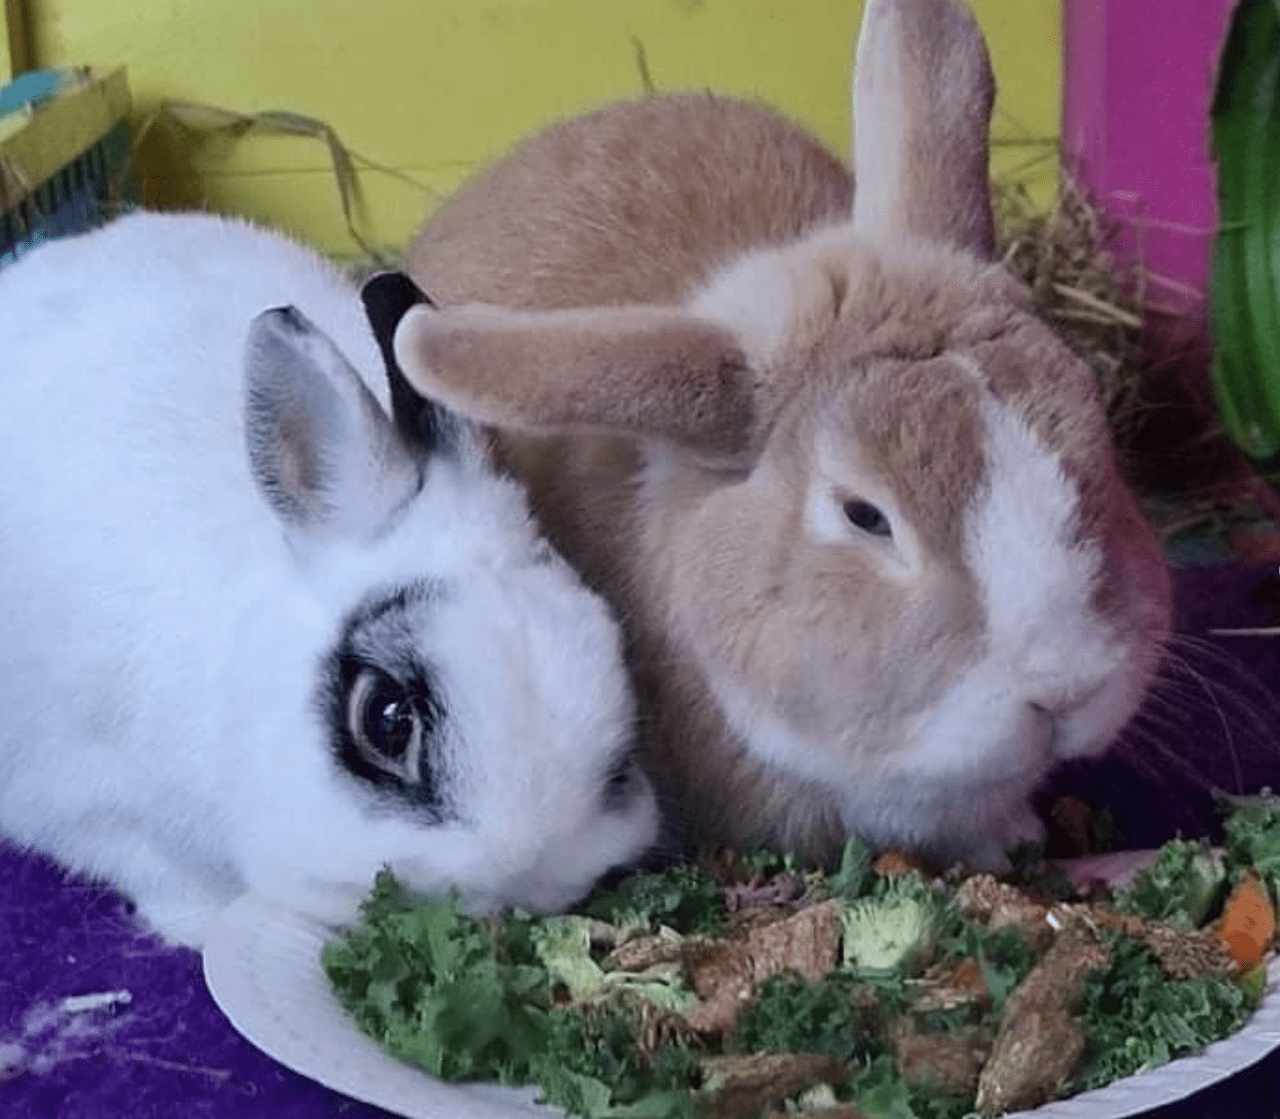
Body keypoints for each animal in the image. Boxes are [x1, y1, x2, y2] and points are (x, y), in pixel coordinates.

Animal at [0, 211, 660, 949]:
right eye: (386, 719)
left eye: (619, 764)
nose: (516, 882)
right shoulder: (89, 801)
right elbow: (157, 871)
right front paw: (209, 926)